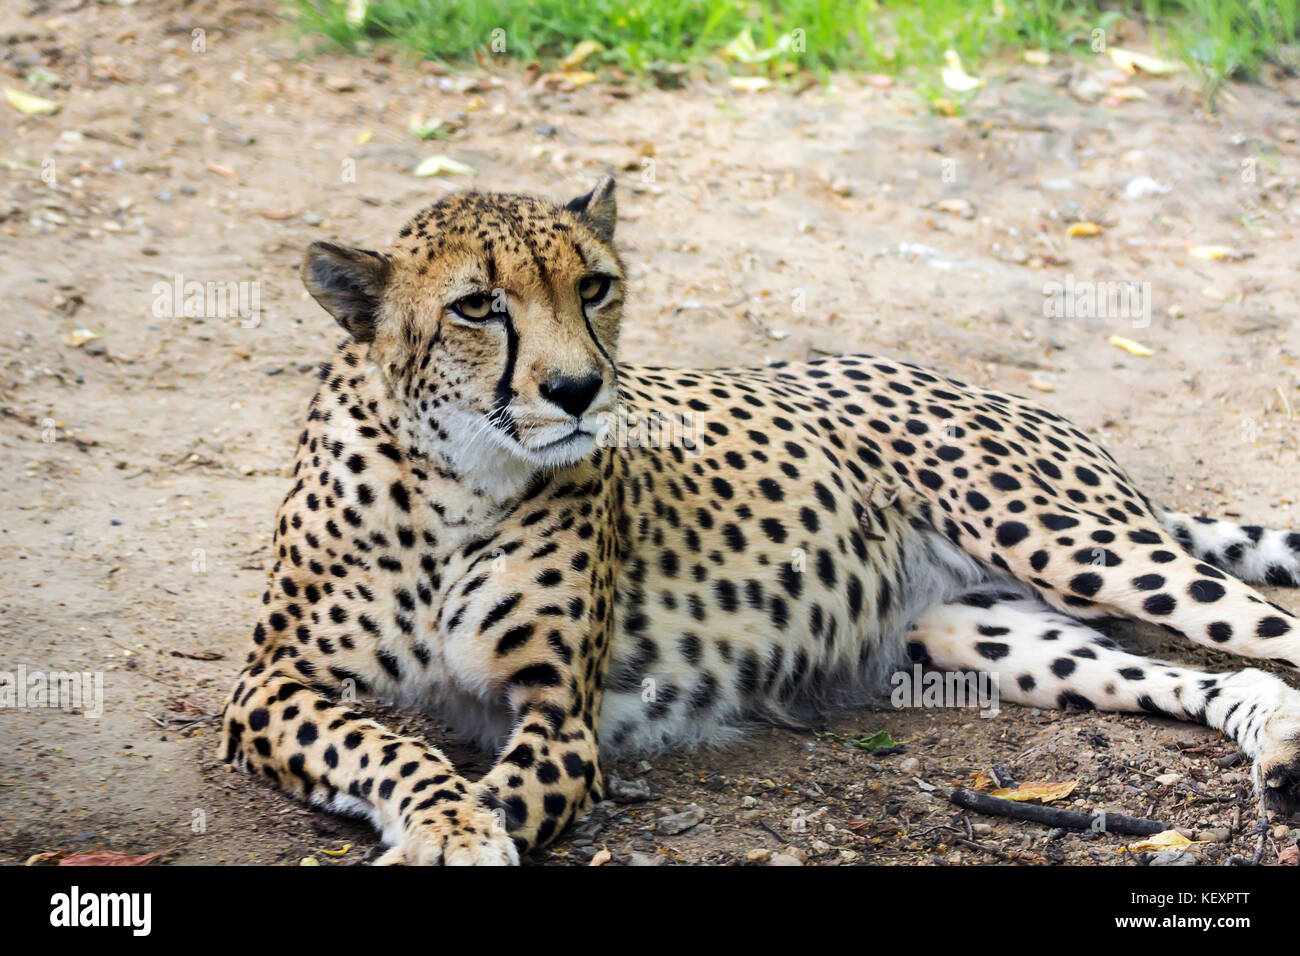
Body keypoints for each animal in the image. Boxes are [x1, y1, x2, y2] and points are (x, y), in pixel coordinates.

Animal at [218, 176, 1300, 865]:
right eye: (477, 305)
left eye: (594, 286)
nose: (577, 390)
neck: (456, 479)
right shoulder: (270, 683)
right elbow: (394, 748)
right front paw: (442, 829)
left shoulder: (559, 717)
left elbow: (505, 785)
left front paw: (453, 837)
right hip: (983, 633)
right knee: (1217, 673)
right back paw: (1277, 741)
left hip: (1073, 542)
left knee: (1262, 624)